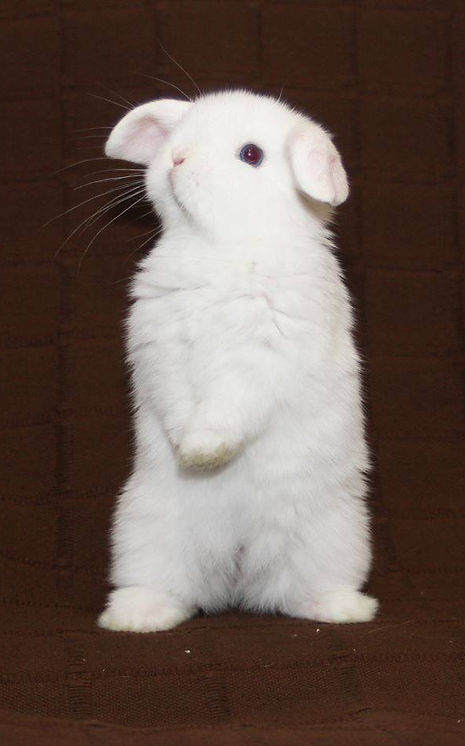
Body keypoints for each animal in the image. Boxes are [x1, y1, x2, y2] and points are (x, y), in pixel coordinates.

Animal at [97, 89, 378, 633]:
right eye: (179, 134)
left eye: (251, 154)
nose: (176, 158)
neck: (220, 247)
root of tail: (237, 563)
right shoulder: (159, 345)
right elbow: (175, 394)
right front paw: (187, 448)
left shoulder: (266, 352)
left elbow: (231, 403)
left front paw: (202, 451)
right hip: (144, 528)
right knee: (163, 583)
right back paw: (135, 617)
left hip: (333, 535)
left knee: (303, 587)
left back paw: (345, 609)